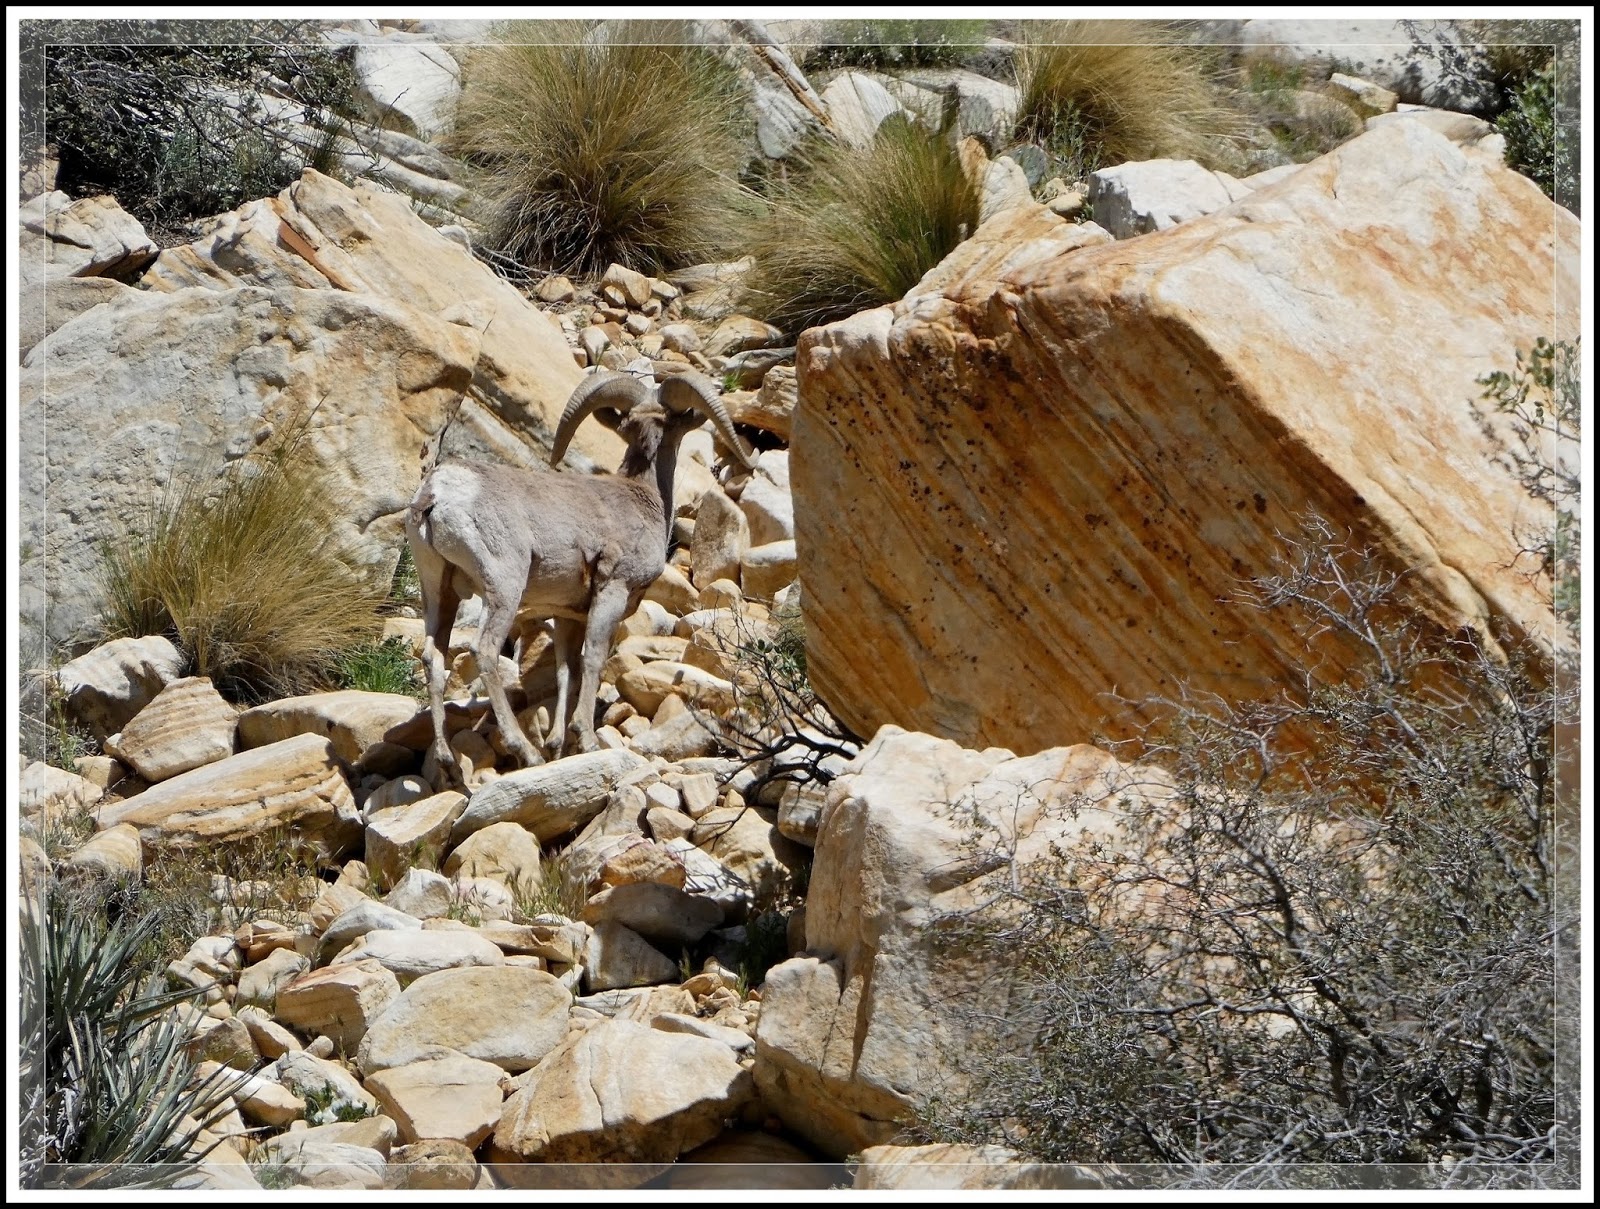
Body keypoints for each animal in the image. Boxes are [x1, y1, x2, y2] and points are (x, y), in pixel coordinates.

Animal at [404, 369, 756, 782]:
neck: (642, 497)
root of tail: (437, 495)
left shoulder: (568, 614)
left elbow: (565, 672)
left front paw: (558, 745)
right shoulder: (612, 591)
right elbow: (593, 661)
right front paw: (585, 740)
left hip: (438, 591)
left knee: (434, 657)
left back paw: (447, 763)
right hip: (504, 588)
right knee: (485, 651)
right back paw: (526, 752)